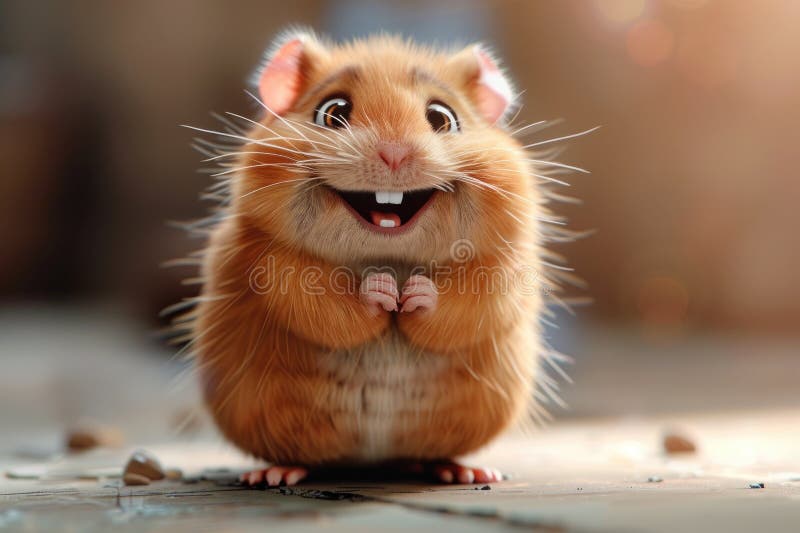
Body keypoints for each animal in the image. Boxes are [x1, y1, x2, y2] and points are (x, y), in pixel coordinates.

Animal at [180, 30, 577, 486]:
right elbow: (319, 298)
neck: (388, 253)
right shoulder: (270, 261)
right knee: (302, 457)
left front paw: (414, 294)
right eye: (333, 112)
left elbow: (468, 301)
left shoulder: (504, 266)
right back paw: (276, 473)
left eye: (443, 118)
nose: (394, 154)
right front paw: (383, 292)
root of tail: (372, 459)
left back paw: (465, 471)